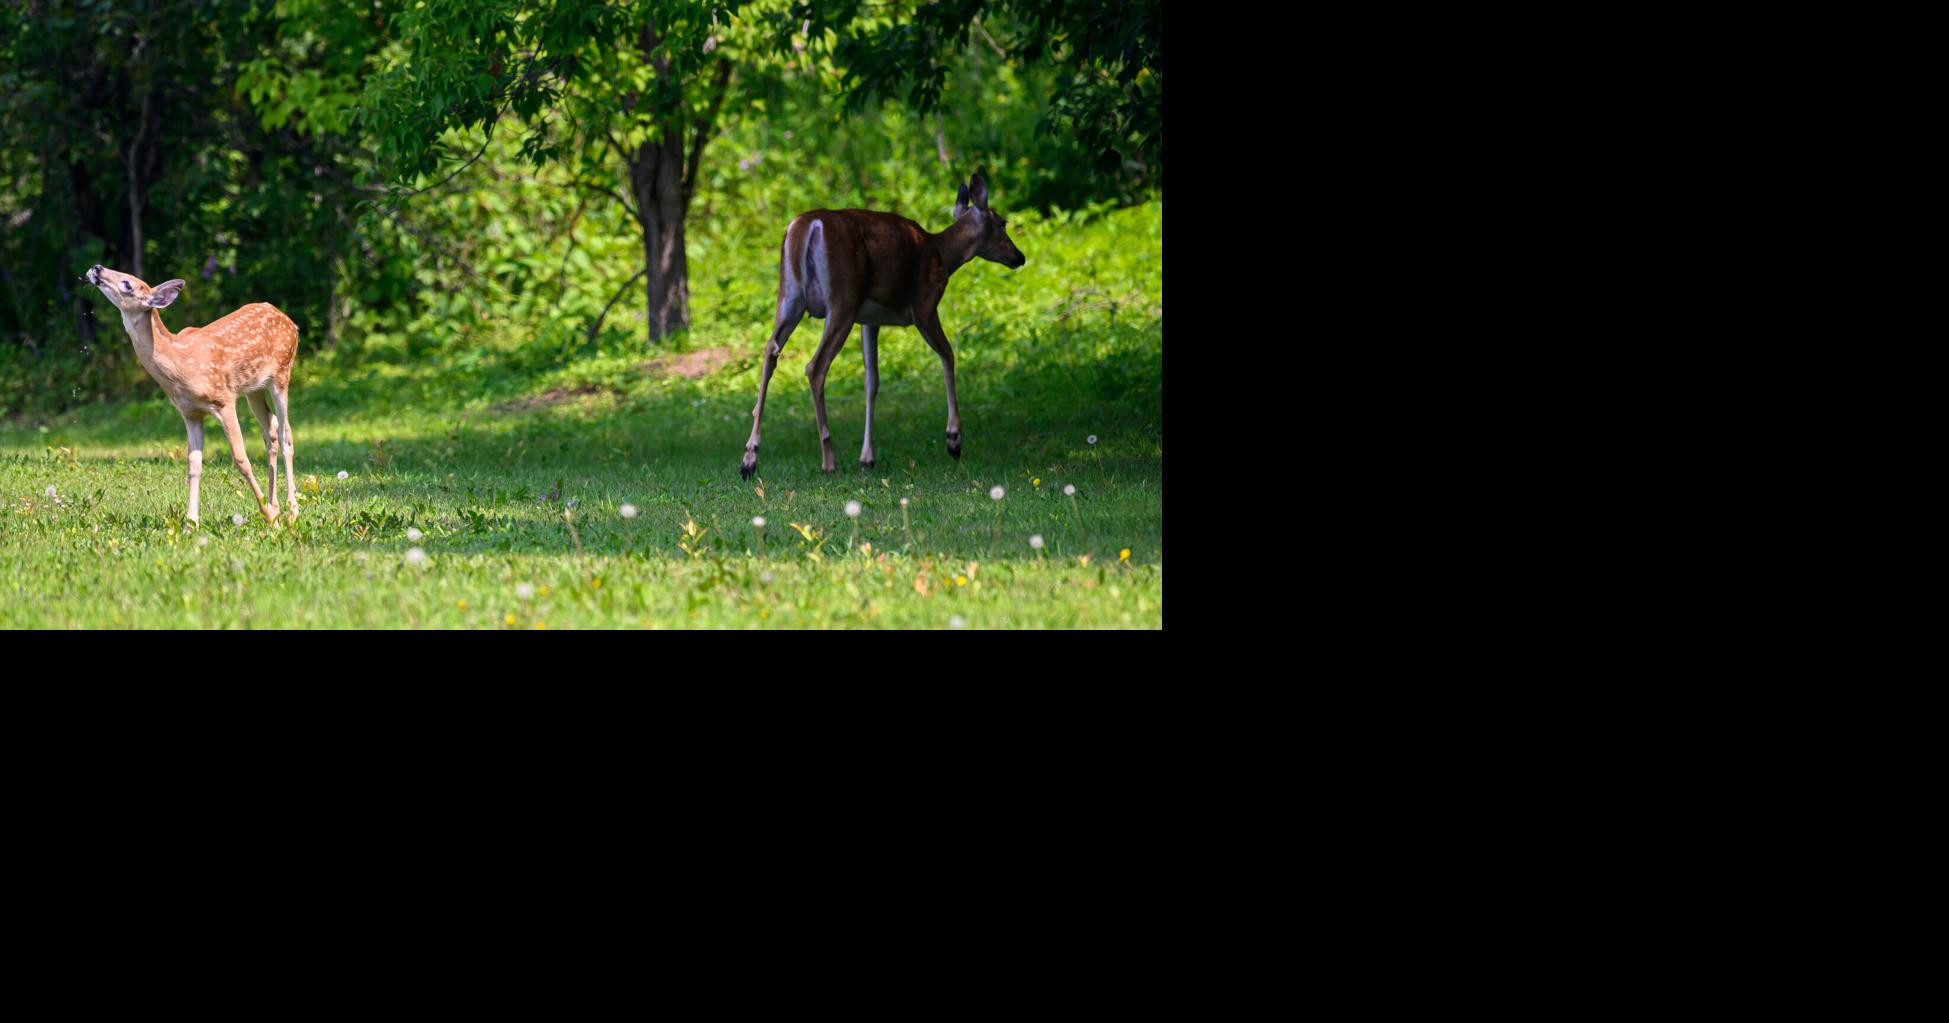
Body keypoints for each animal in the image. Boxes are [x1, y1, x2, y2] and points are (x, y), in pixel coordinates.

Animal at [81, 265, 301, 528]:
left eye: (128, 284)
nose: (97, 268)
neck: (180, 364)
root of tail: (291, 322)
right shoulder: (190, 412)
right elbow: (194, 464)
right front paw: (190, 523)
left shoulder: (224, 400)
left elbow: (241, 458)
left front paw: (266, 515)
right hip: (255, 388)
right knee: (271, 429)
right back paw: (275, 506)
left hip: (282, 372)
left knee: (286, 433)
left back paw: (290, 510)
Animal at [741, 171, 1026, 478]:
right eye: (1002, 223)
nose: (1019, 256)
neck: (941, 254)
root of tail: (805, 225)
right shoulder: (925, 304)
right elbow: (948, 355)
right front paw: (953, 440)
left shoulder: (870, 320)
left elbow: (872, 381)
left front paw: (867, 458)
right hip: (842, 300)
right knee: (815, 367)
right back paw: (828, 460)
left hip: (790, 297)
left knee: (770, 351)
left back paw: (749, 459)